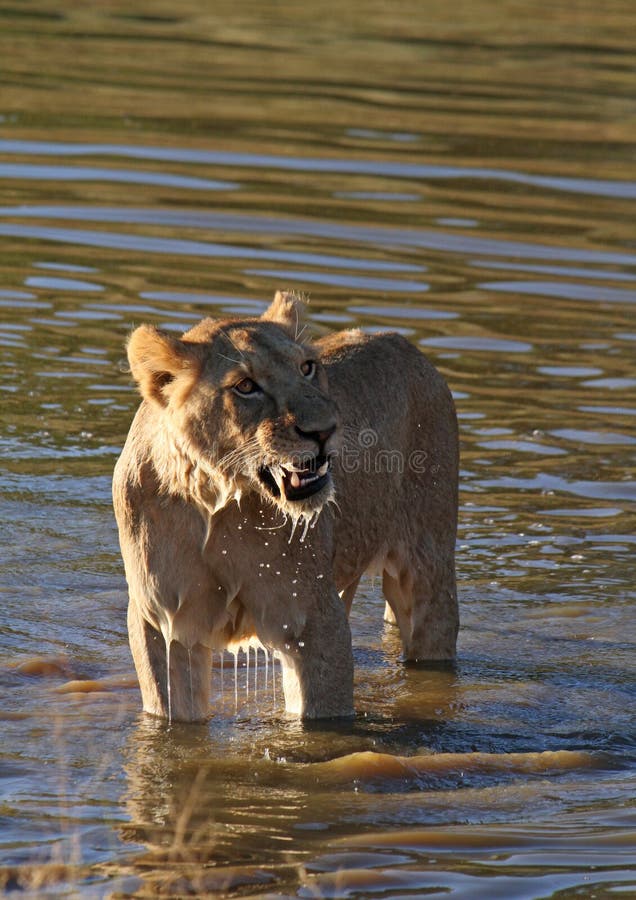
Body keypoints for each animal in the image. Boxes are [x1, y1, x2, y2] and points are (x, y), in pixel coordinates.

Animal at [113, 291, 459, 721]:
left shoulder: (314, 619)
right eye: (246, 386)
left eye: (308, 367)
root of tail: (399, 340)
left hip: (429, 563)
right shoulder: (163, 622)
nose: (325, 430)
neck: (220, 500)